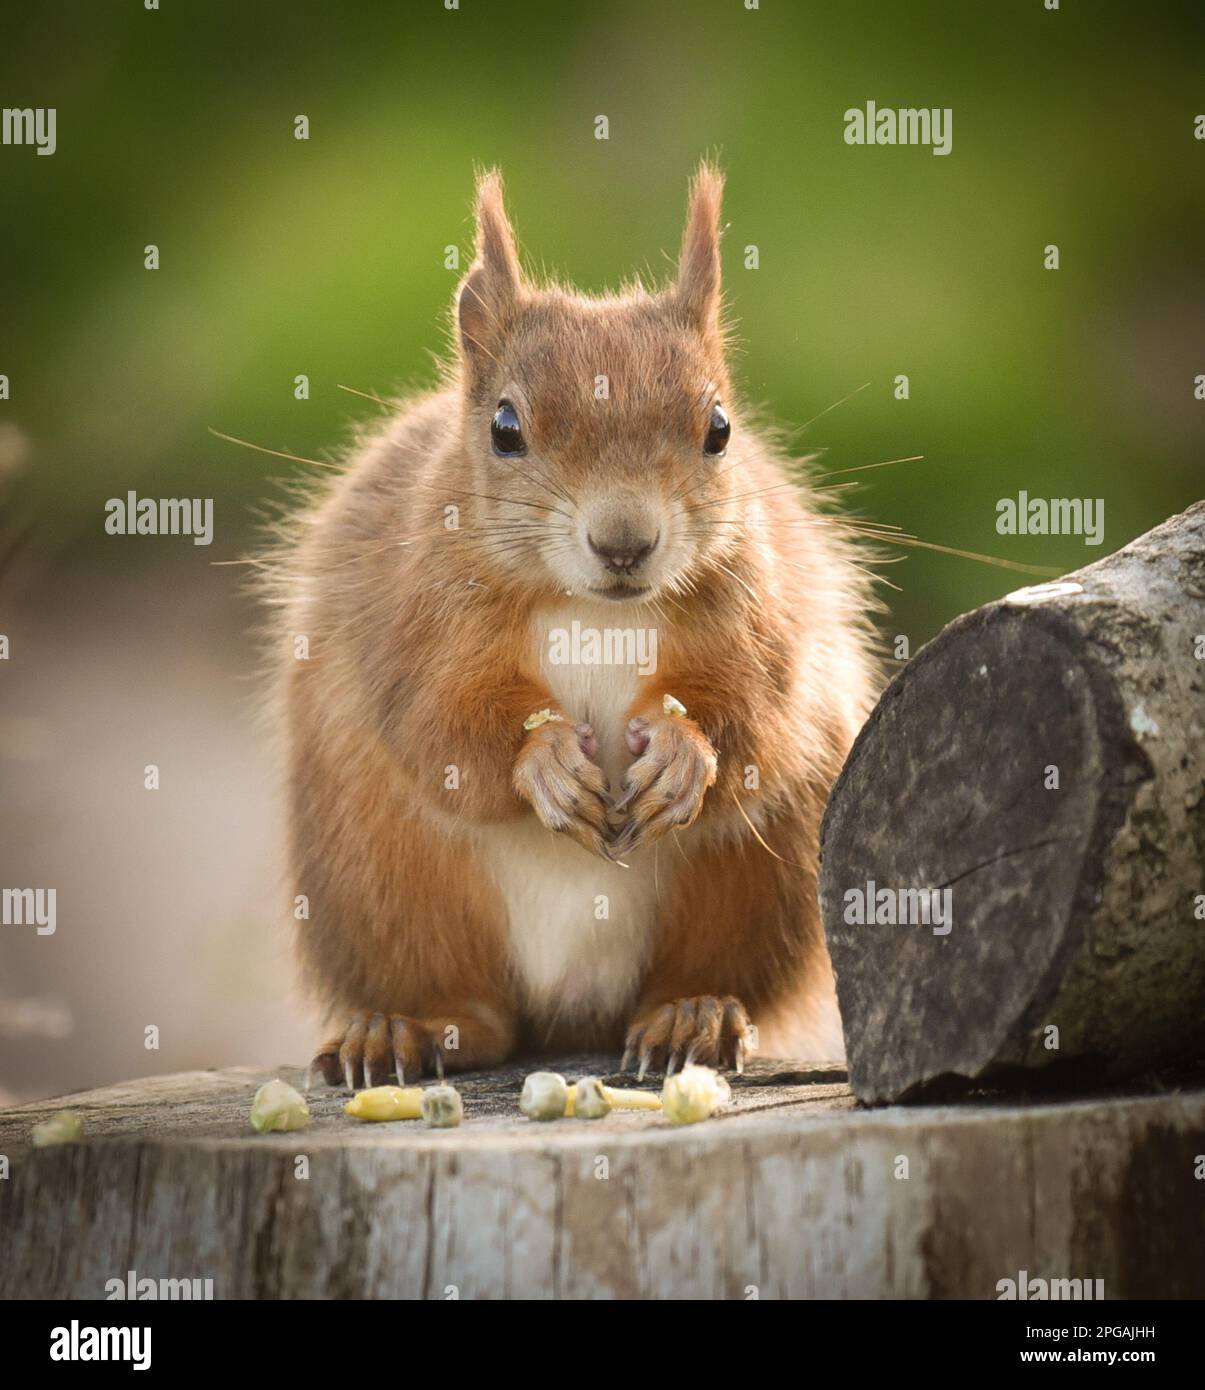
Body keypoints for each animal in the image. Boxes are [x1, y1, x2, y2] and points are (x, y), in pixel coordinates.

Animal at [276, 164, 877, 1088]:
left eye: (719, 429)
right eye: (504, 429)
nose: (624, 542)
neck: (593, 613)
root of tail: (572, 1013)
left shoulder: (764, 614)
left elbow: (752, 712)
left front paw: (684, 752)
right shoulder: (410, 620)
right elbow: (440, 727)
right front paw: (545, 759)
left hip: (756, 878)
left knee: (698, 971)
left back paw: (690, 1015)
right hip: (384, 884)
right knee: (467, 1006)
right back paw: (407, 1029)